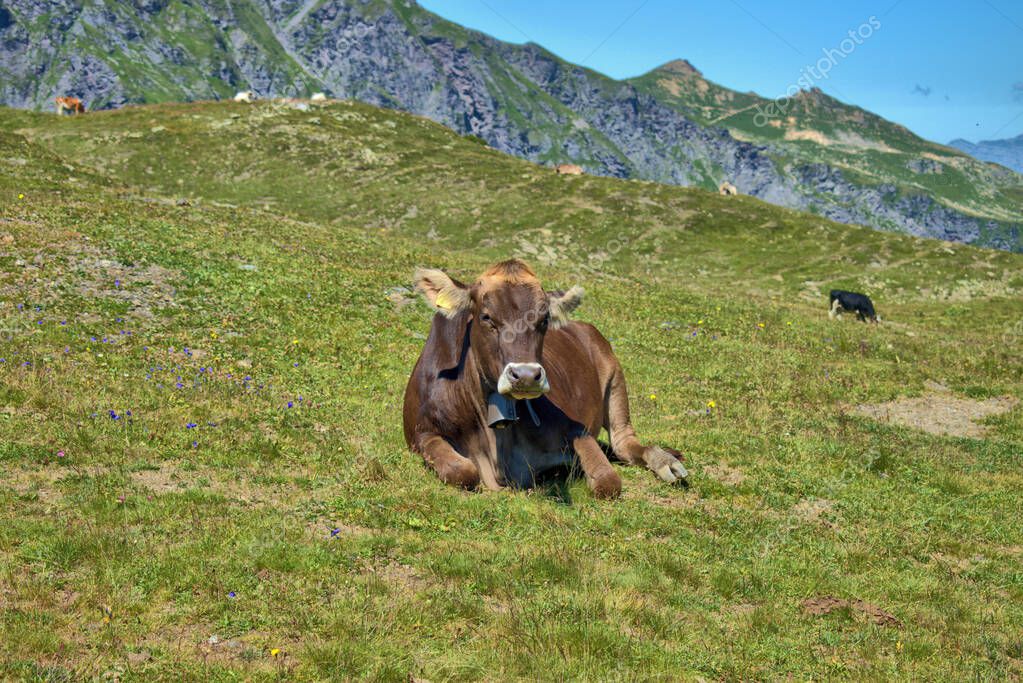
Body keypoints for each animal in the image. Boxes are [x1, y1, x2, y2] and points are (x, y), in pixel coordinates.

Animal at [403, 259, 689, 499]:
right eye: (486, 317)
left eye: (544, 319)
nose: (526, 375)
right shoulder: (422, 432)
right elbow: (462, 471)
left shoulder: (575, 428)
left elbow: (607, 482)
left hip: (615, 377)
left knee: (623, 443)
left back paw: (667, 462)